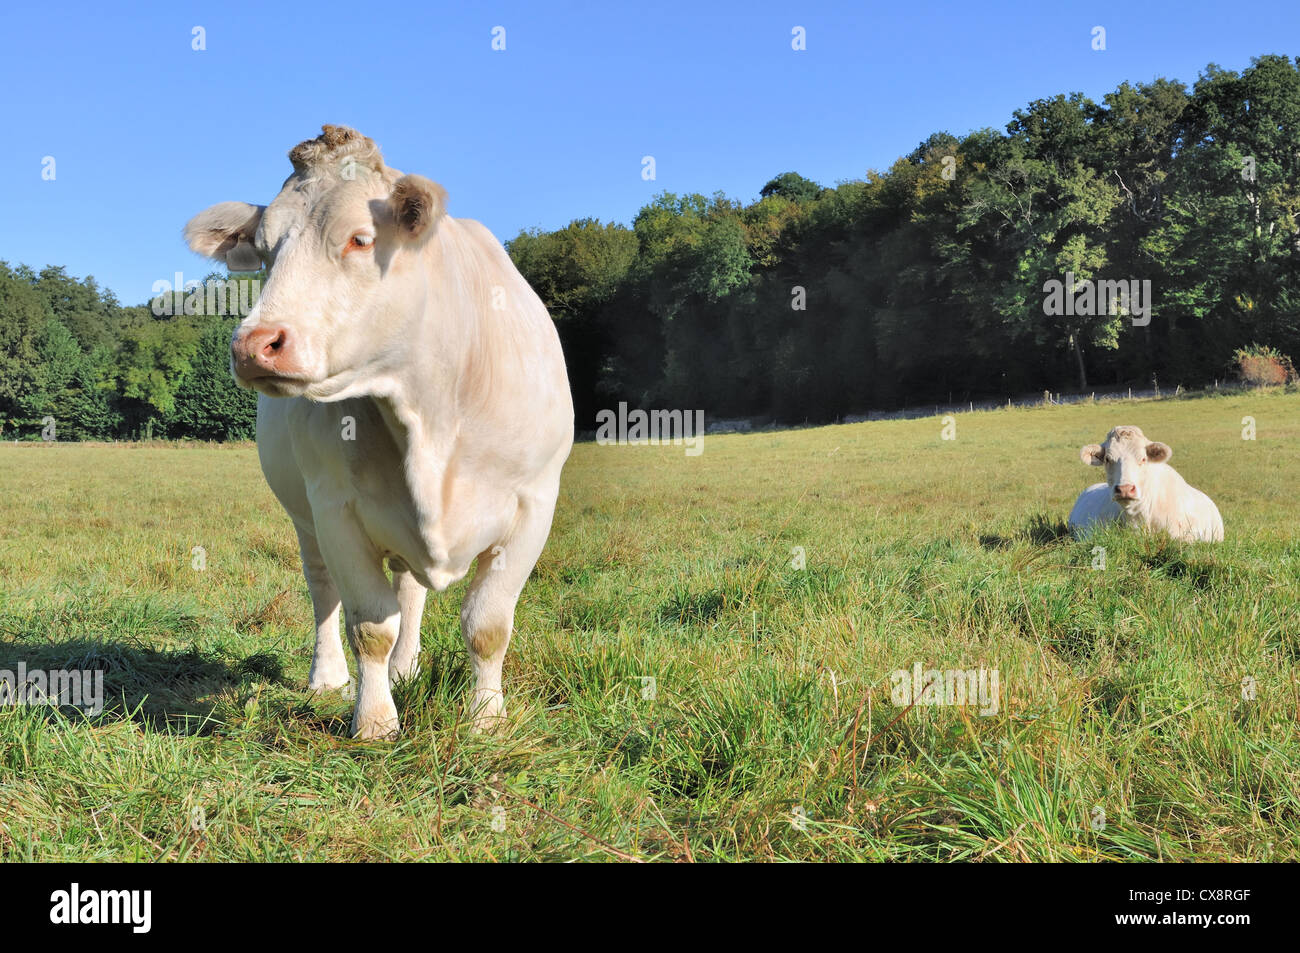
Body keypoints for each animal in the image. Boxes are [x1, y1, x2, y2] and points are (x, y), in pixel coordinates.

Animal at [184, 125, 574, 739]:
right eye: (265, 253)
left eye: (361, 239)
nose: (253, 345)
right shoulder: (335, 507)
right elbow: (370, 624)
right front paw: (373, 722)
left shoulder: (535, 501)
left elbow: (487, 624)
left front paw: (486, 720)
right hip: (306, 517)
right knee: (323, 590)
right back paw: (329, 676)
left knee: (409, 588)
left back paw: (407, 669)